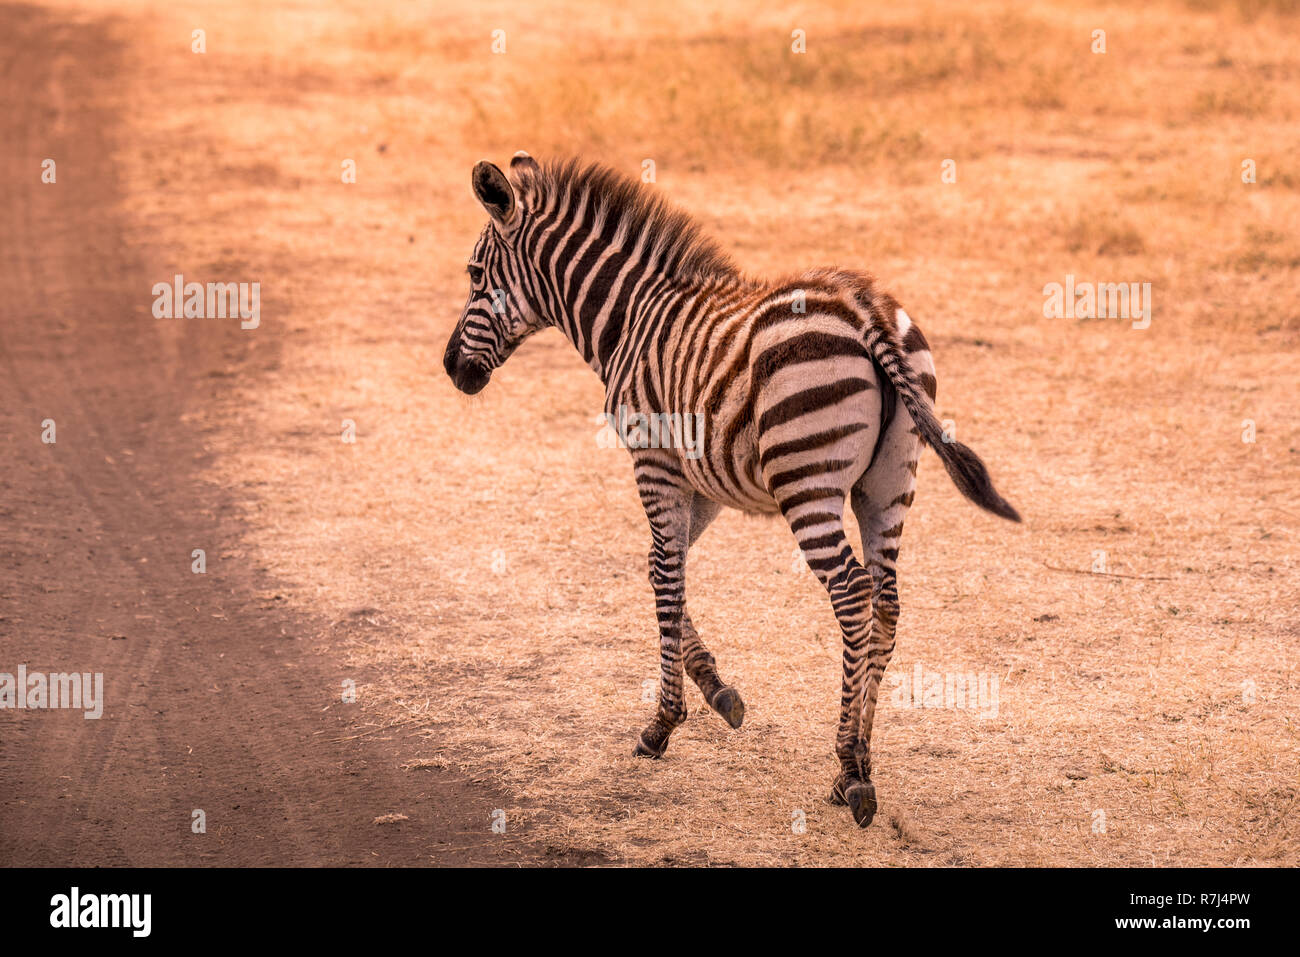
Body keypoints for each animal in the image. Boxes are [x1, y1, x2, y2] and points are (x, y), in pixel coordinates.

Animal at [443, 153, 1020, 827]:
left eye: (474, 275)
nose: (452, 370)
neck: (630, 316)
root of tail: (866, 310)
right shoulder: (705, 483)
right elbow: (661, 566)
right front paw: (718, 691)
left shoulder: (654, 462)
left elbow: (664, 574)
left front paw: (661, 725)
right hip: (889, 482)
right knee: (887, 600)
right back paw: (859, 763)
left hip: (807, 484)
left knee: (852, 594)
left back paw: (850, 768)